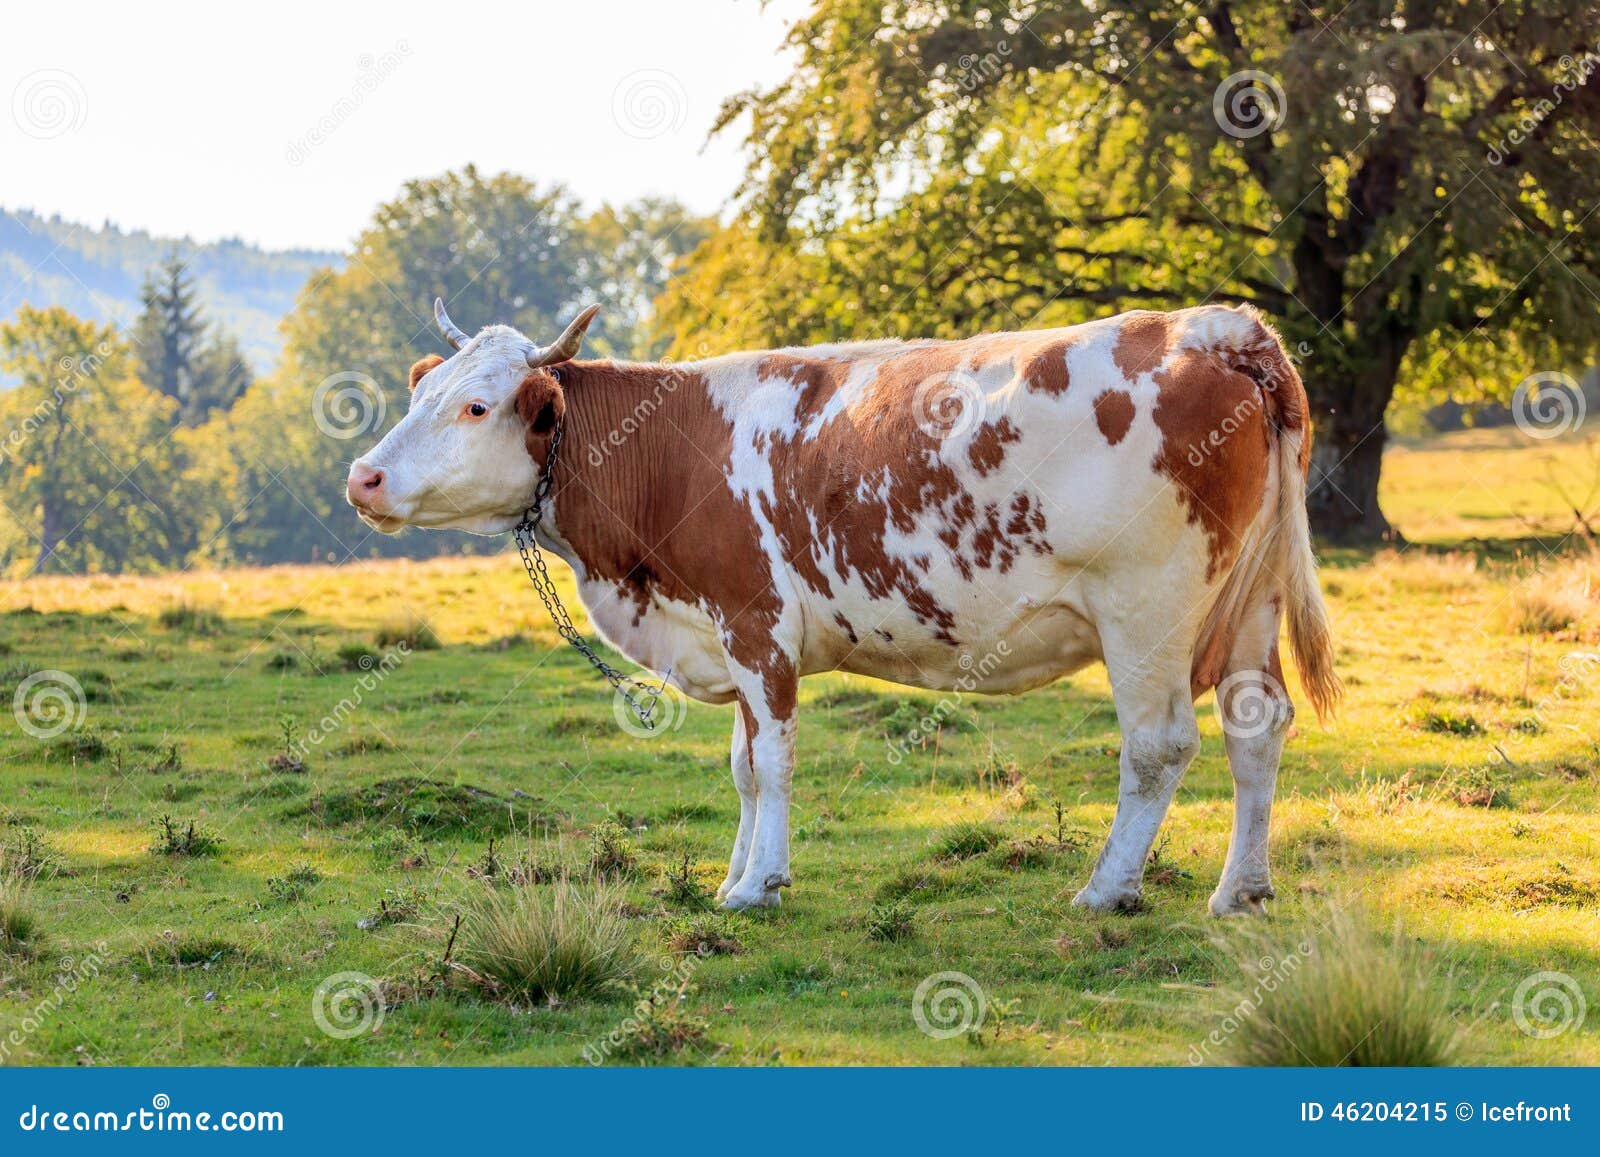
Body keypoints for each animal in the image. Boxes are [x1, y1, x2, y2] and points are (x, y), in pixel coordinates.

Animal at [347, 299, 1339, 915]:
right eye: (421, 390)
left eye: (478, 406)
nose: (364, 476)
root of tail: (1215, 325)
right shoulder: (728, 634)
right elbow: (743, 768)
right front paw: (734, 875)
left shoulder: (756, 623)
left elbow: (774, 762)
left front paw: (759, 886)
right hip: (1247, 604)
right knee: (1257, 727)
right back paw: (1240, 889)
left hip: (1146, 607)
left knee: (1158, 745)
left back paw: (1106, 888)